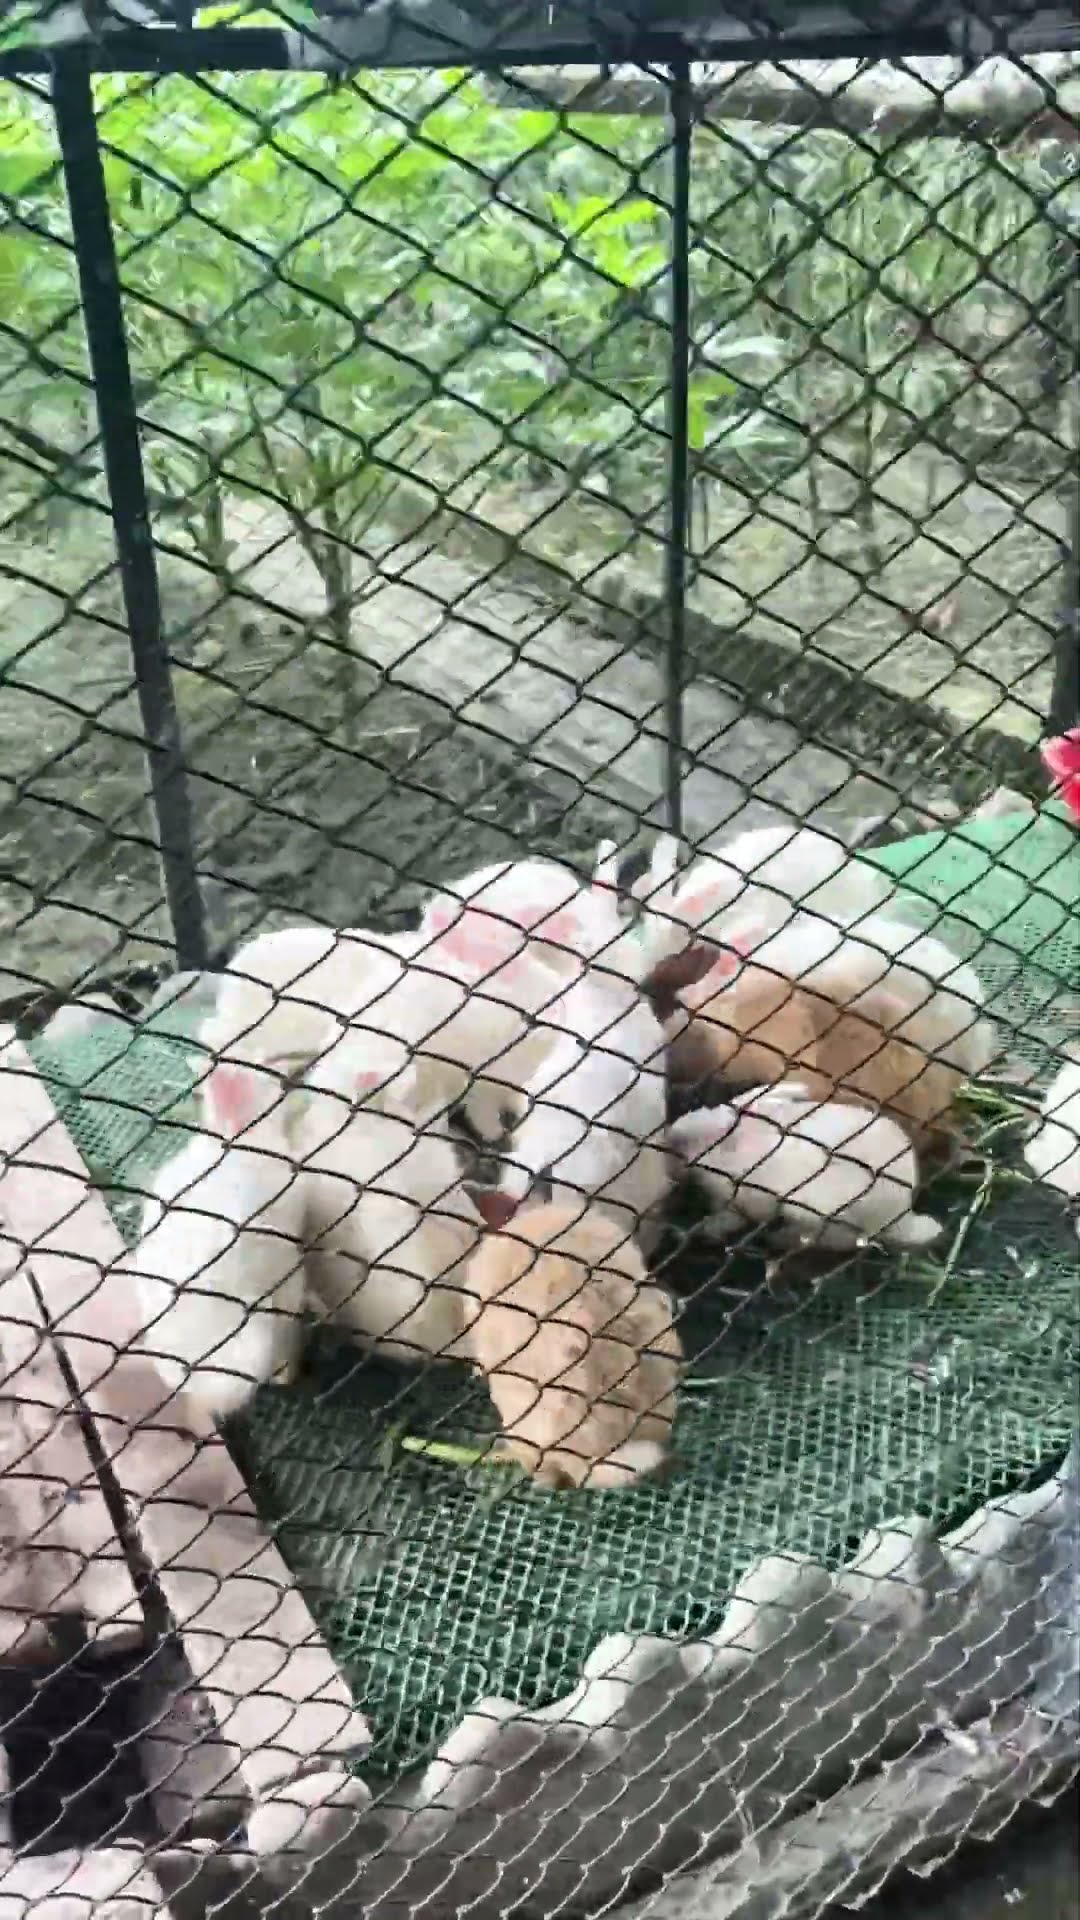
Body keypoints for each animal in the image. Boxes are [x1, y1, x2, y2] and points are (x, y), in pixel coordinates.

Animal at [670, 1084, 942, 1251]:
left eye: (724, 1137)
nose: (673, 1131)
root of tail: (904, 1215)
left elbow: (730, 1218)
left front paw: (703, 1230)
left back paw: (777, 1239)